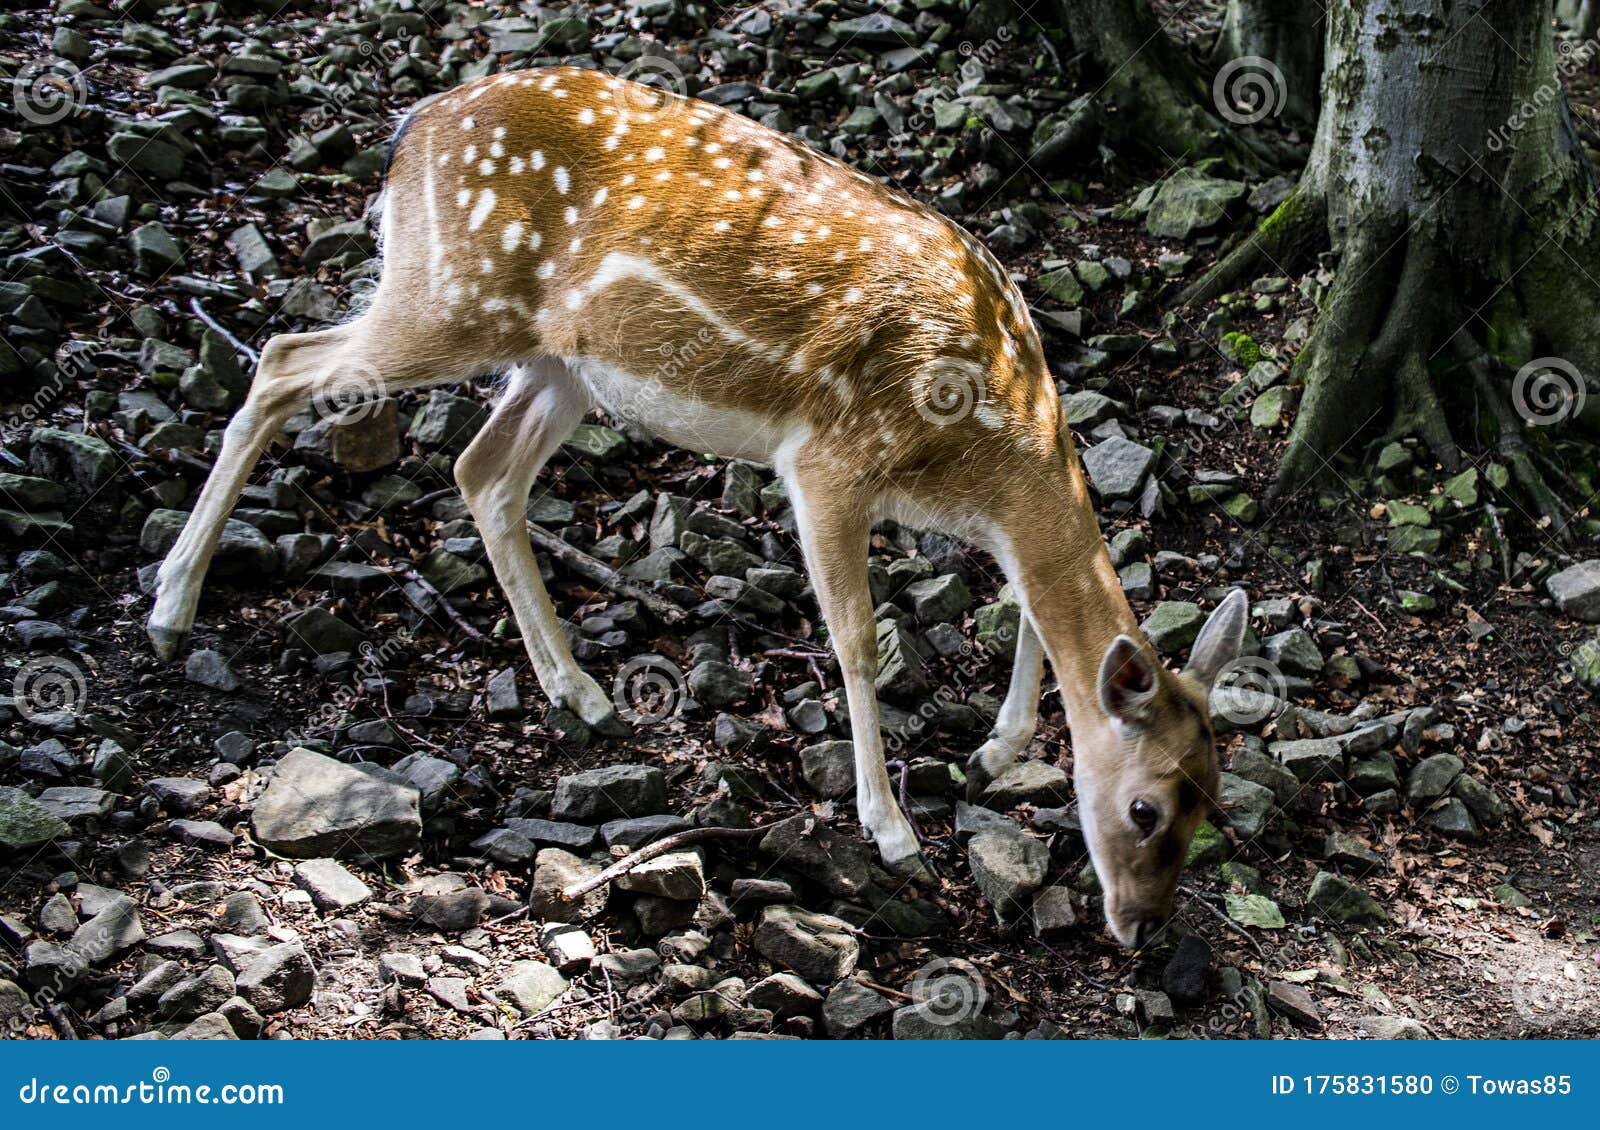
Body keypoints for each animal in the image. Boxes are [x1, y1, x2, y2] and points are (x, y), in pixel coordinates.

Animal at [145, 66, 1247, 949]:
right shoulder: (830, 460)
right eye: (1147, 809)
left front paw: (996, 747)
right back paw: (170, 604)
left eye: (1212, 804)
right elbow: (859, 642)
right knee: (284, 360)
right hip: (450, 293)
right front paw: (890, 828)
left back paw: (577, 688)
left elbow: (1021, 607)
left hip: (557, 359)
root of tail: (411, 129)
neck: (989, 447)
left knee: (478, 468)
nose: (1144, 930)